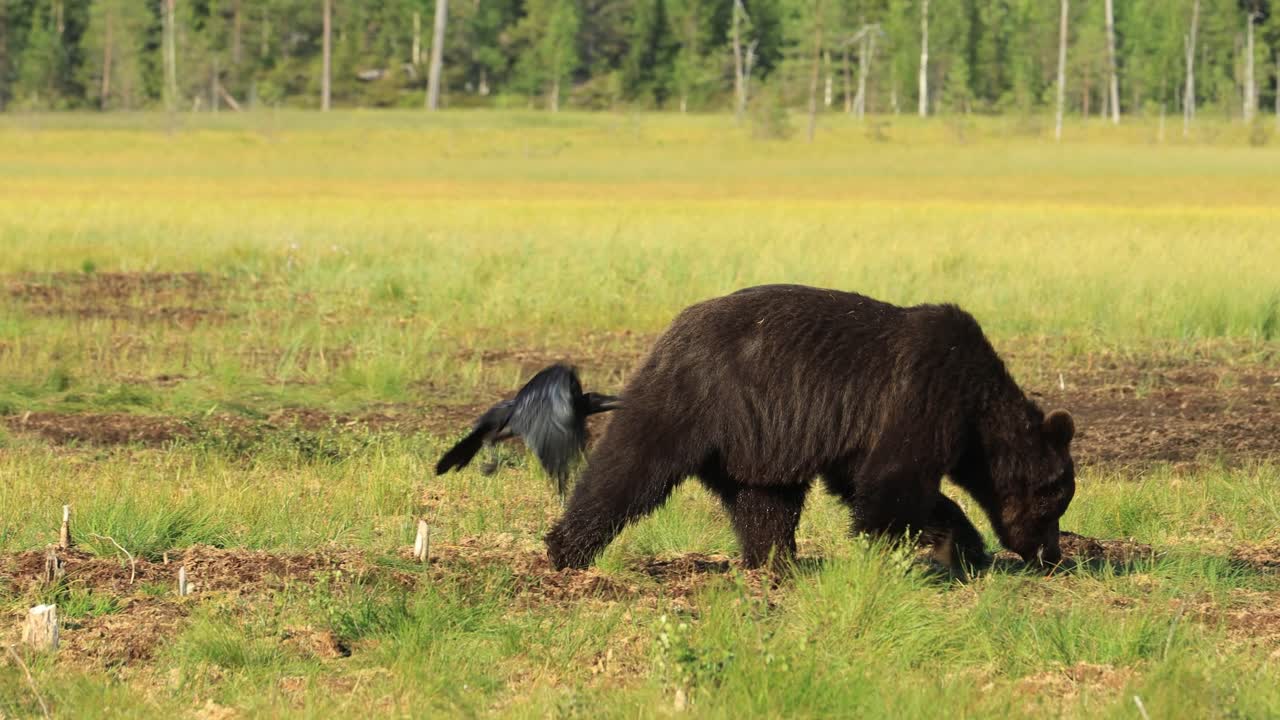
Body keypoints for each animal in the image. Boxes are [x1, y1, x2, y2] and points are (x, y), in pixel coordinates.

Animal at [543, 283, 1076, 572]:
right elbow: (894, 480)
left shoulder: (863, 432)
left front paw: (961, 545)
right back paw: (566, 548)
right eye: (1055, 501)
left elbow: (864, 480)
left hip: (755, 443)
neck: (978, 413)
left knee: (763, 503)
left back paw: (776, 562)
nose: (1050, 554)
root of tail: (670, 332)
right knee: (629, 467)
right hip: (693, 400)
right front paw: (895, 550)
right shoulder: (924, 391)